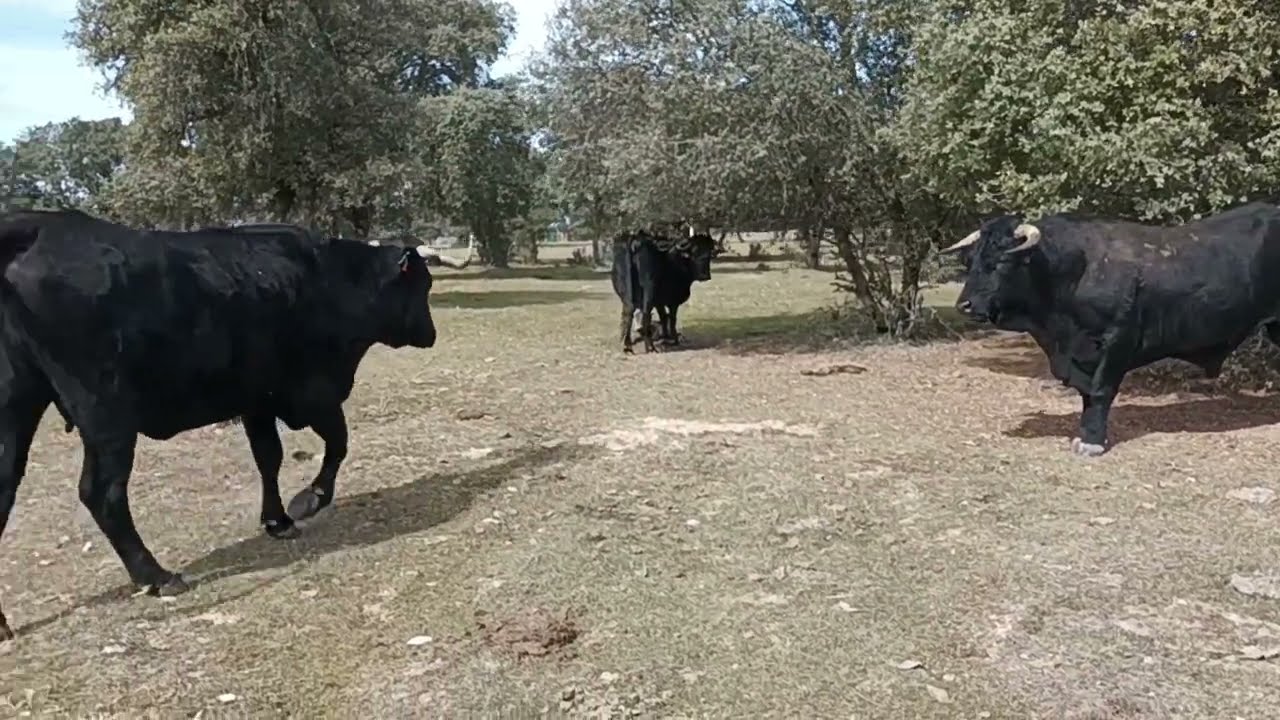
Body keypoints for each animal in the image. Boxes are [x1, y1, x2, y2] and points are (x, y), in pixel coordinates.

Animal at [0, 208, 466, 641]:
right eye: (422, 286)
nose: (431, 333)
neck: (333, 279)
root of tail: (43, 225)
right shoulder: (312, 393)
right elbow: (338, 443)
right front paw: (309, 499)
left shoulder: (257, 401)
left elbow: (269, 458)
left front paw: (277, 520)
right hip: (106, 413)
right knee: (103, 494)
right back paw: (157, 576)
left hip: (18, 408)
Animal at [943, 201, 1280, 457]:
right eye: (970, 262)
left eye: (1001, 261)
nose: (964, 305)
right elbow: (1086, 393)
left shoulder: (1117, 340)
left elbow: (1100, 390)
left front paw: (1092, 442)